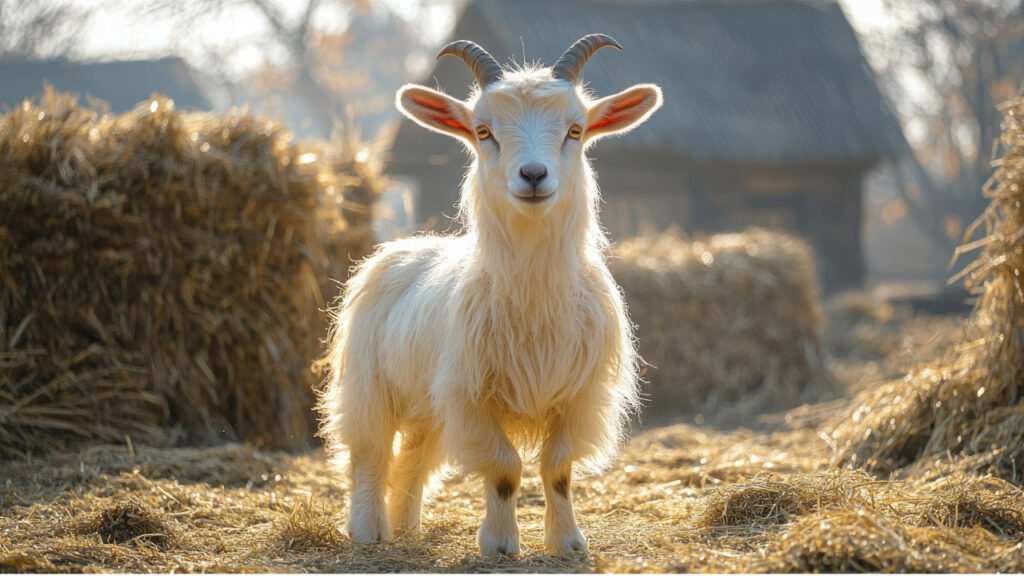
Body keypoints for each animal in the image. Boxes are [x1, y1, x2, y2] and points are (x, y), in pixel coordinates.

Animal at [318, 34, 662, 556]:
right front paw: (499, 544)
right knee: (369, 455)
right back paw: (370, 530)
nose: (534, 175)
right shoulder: (472, 397)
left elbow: (557, 469)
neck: (534, 297)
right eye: (483, 131)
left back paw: (408, 527)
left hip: (429, 403)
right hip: (370, 385)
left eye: (576, 130)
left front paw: (567, 542)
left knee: (413, 457)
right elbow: (504, 470)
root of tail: (407, 246)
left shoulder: (578, 395)